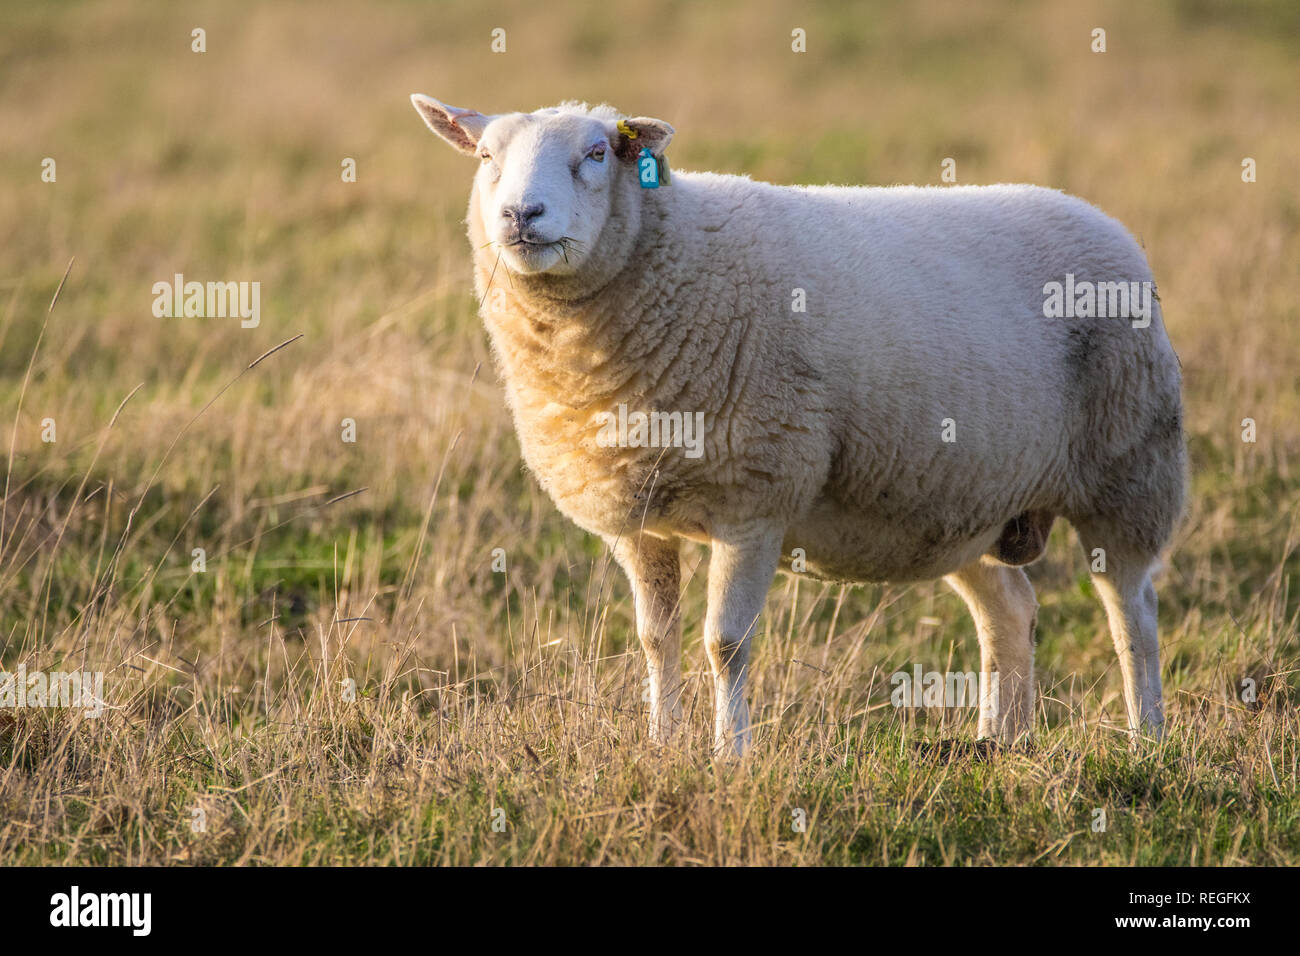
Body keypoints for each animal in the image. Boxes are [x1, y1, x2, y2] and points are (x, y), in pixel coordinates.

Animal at [410, 94, 1187, 757]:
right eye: (486, 155)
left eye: (597, 153)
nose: (522, 214)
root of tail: (1104, 222)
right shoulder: (638, 517)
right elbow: (655, 638)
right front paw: (661, 746)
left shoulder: (755, 497)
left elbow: (724, 644)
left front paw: (729, 757)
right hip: (967, 502)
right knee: (1011, 613)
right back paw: (998, 744)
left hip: (1130, 466)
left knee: (1133, 612)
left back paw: (1145, 739)